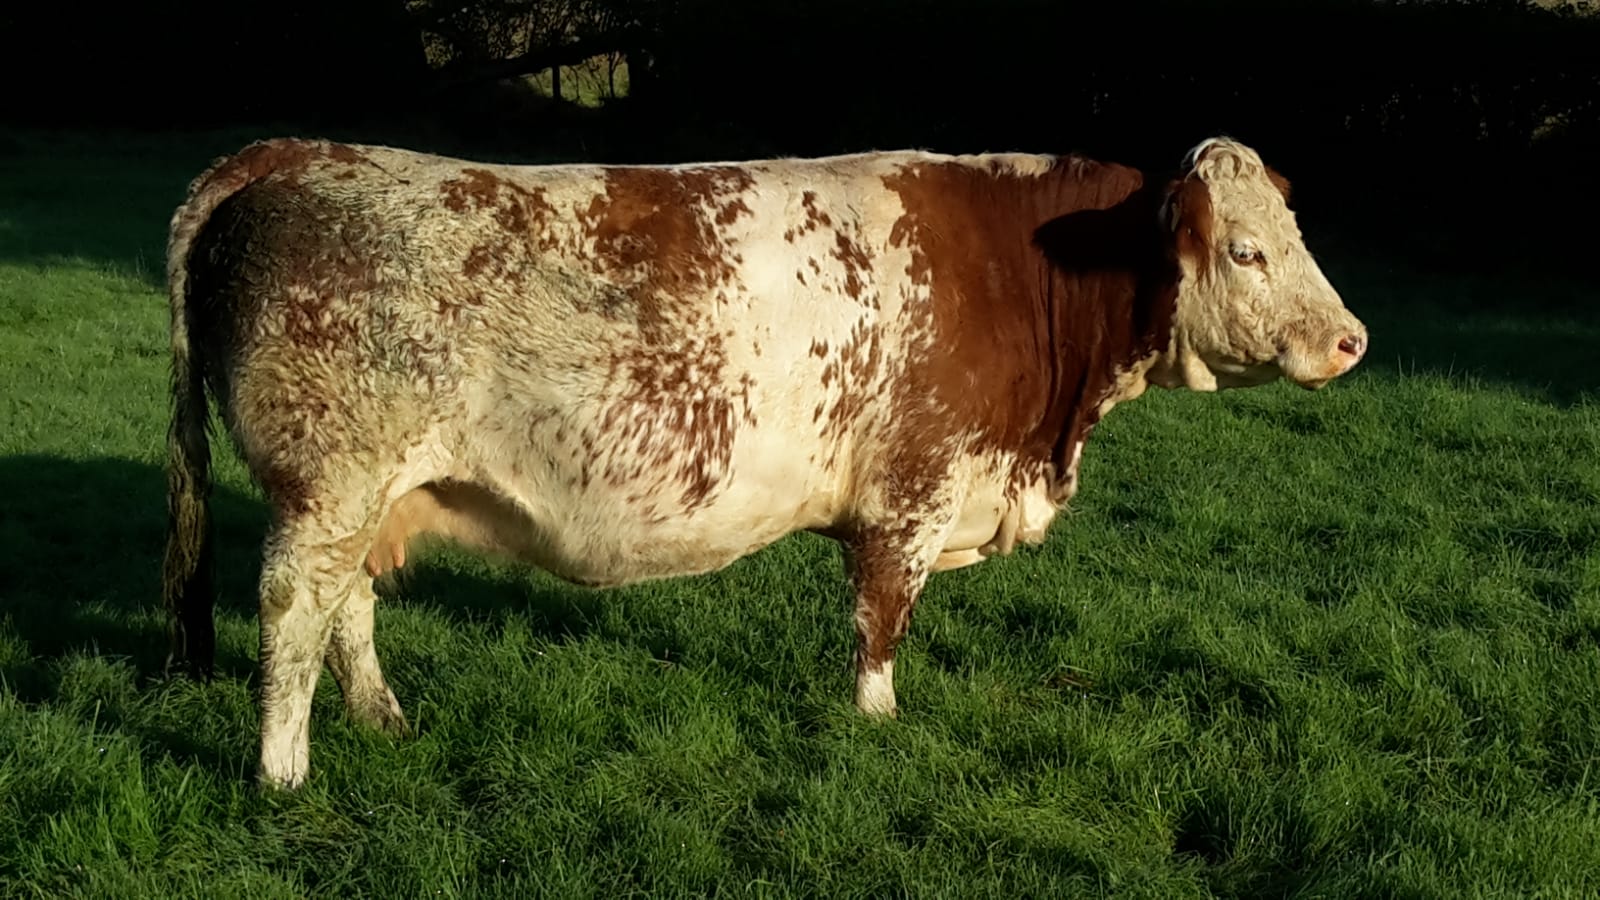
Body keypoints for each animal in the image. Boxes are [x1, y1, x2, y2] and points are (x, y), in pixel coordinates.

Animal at [161, 134, 1366, 789]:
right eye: (1246, 250)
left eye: (1296, 235)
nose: (1352, 339)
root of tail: (303, 154)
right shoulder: (915, 490)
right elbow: (880, 621)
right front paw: (877, 724)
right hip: (330, 480)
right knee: (291, 610)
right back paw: (282, 772)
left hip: (371, 491)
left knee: (346, 607)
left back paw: (382, 717)